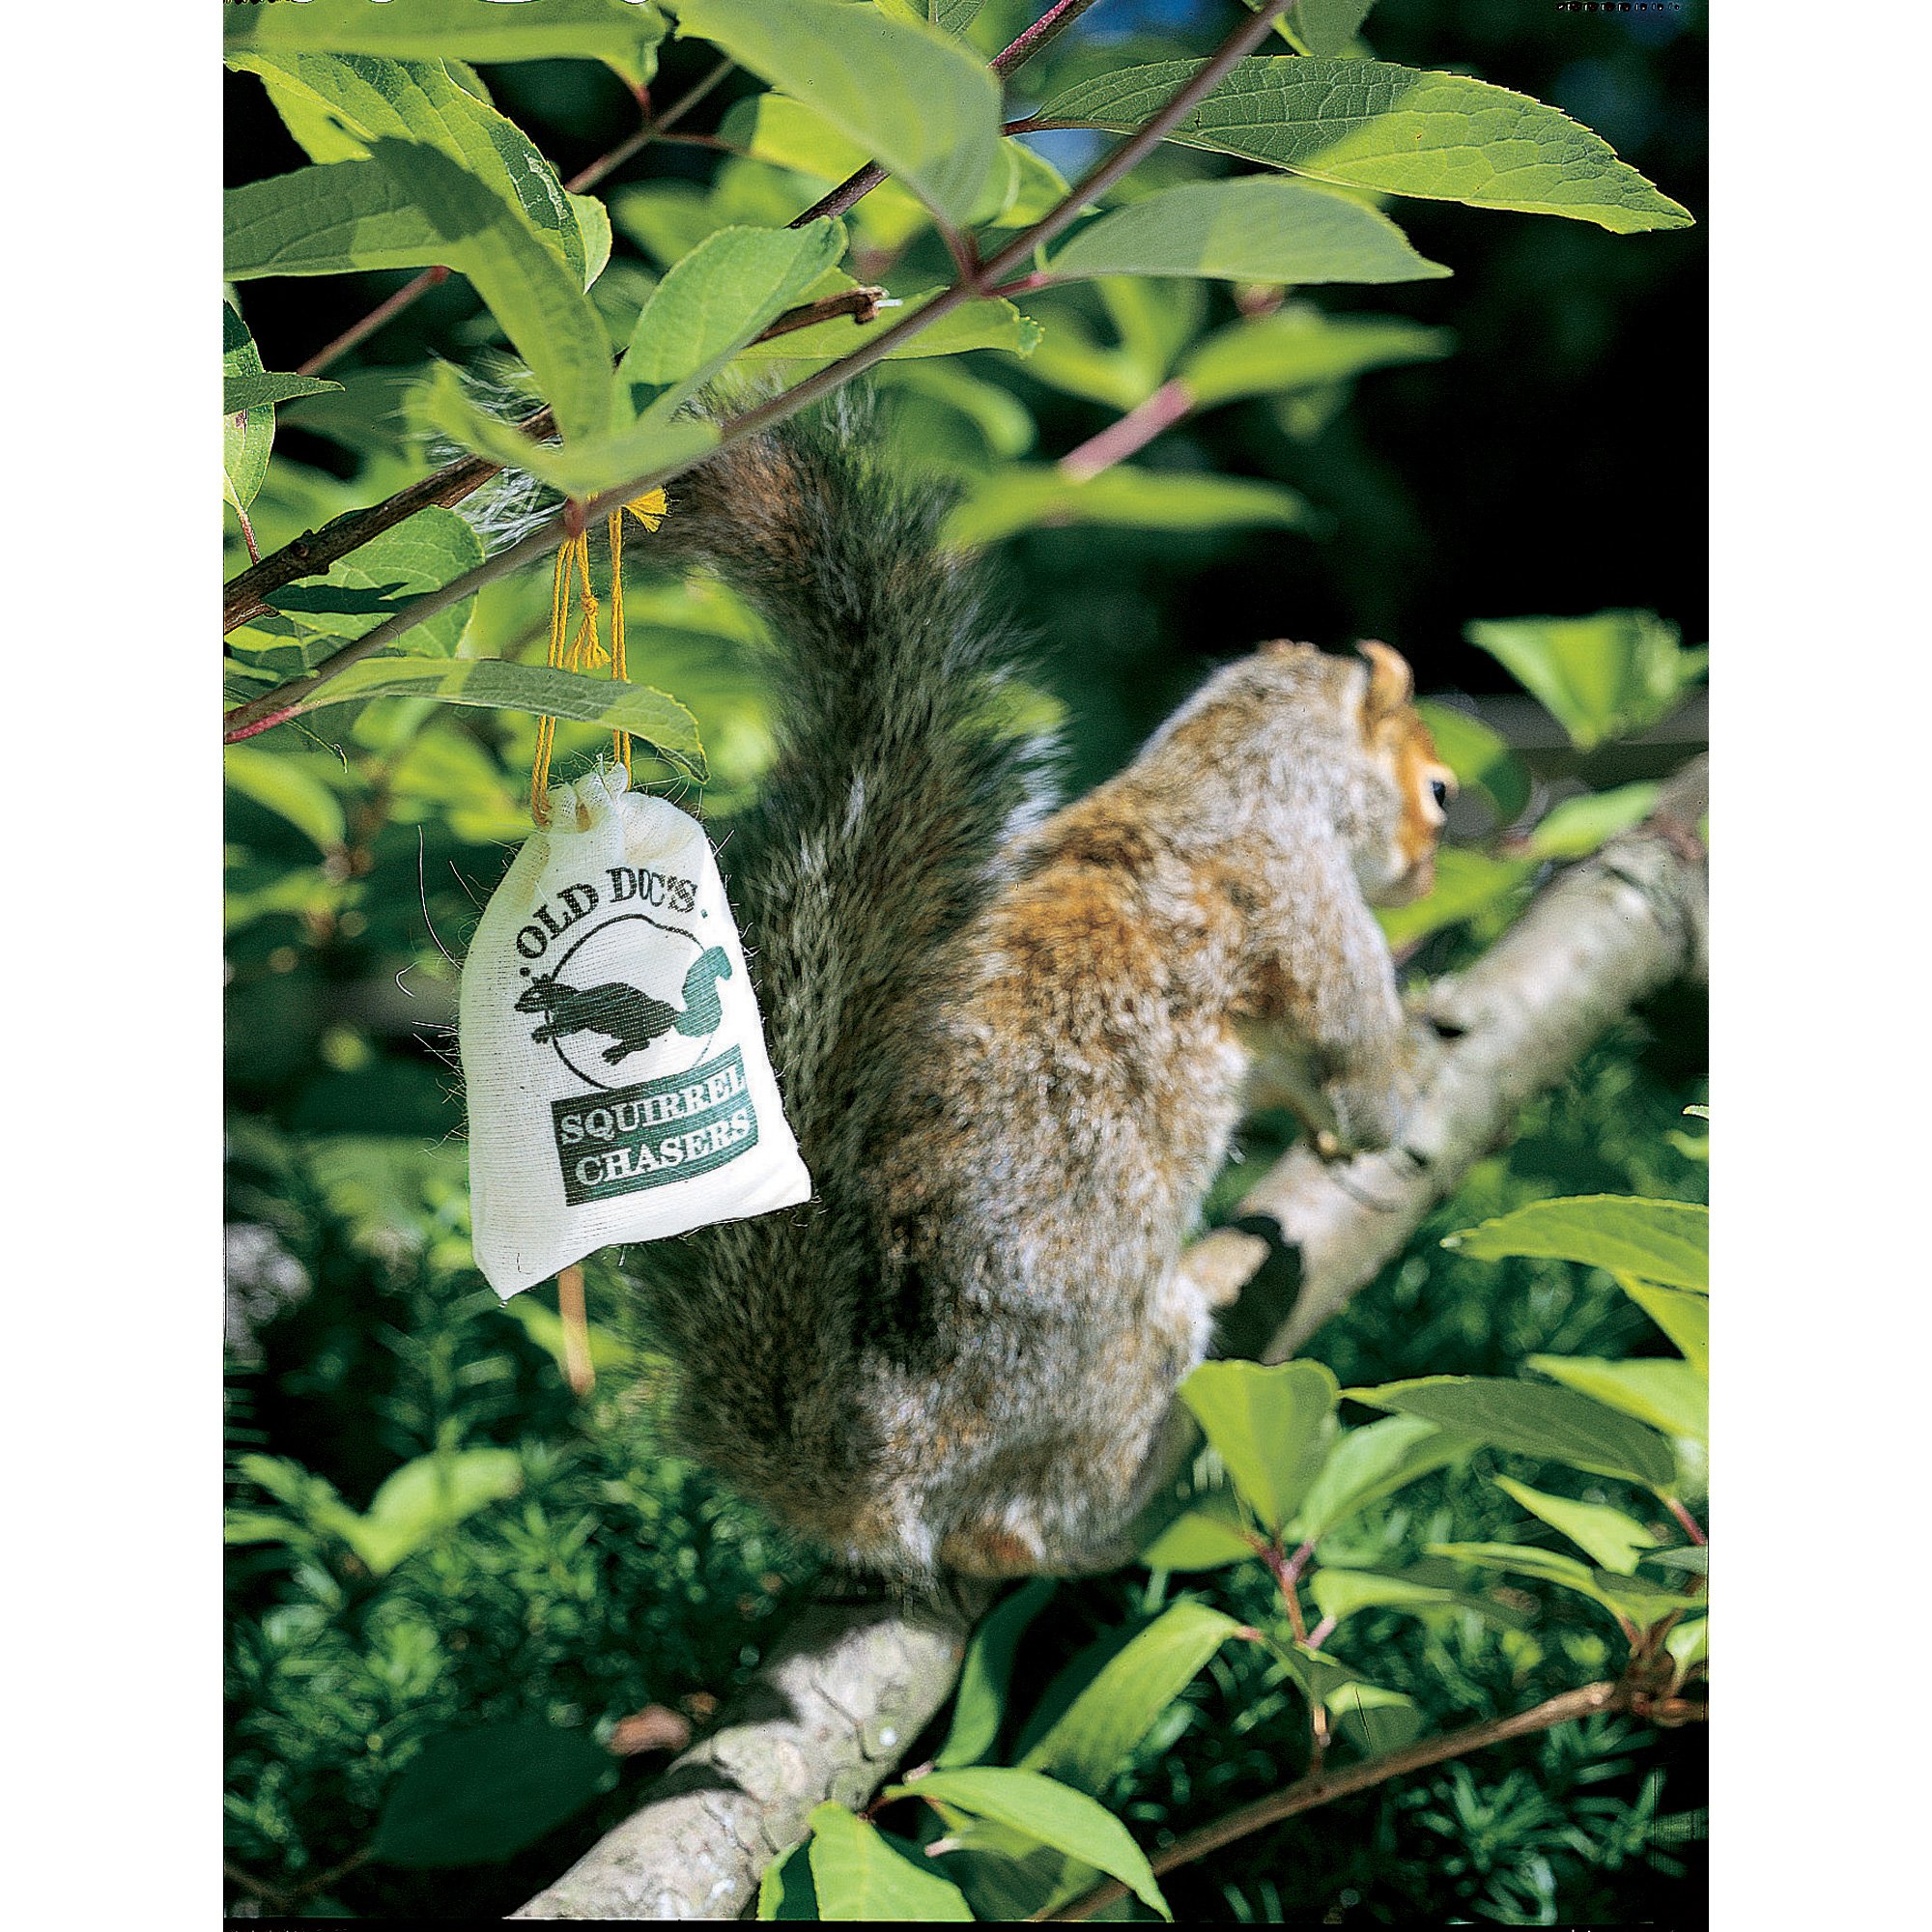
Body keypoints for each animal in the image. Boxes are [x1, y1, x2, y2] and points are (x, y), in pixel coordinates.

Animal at [629, 398, 1454, 1584]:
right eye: (1436, 790)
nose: (1431, 869)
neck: (1228, 773)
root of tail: (859, 1475)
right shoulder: (1309, 904)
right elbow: (1364, 1081)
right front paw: (1423, 1050)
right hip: (1112, 1375)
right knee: (1013, 1528)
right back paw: (1125, 1519)